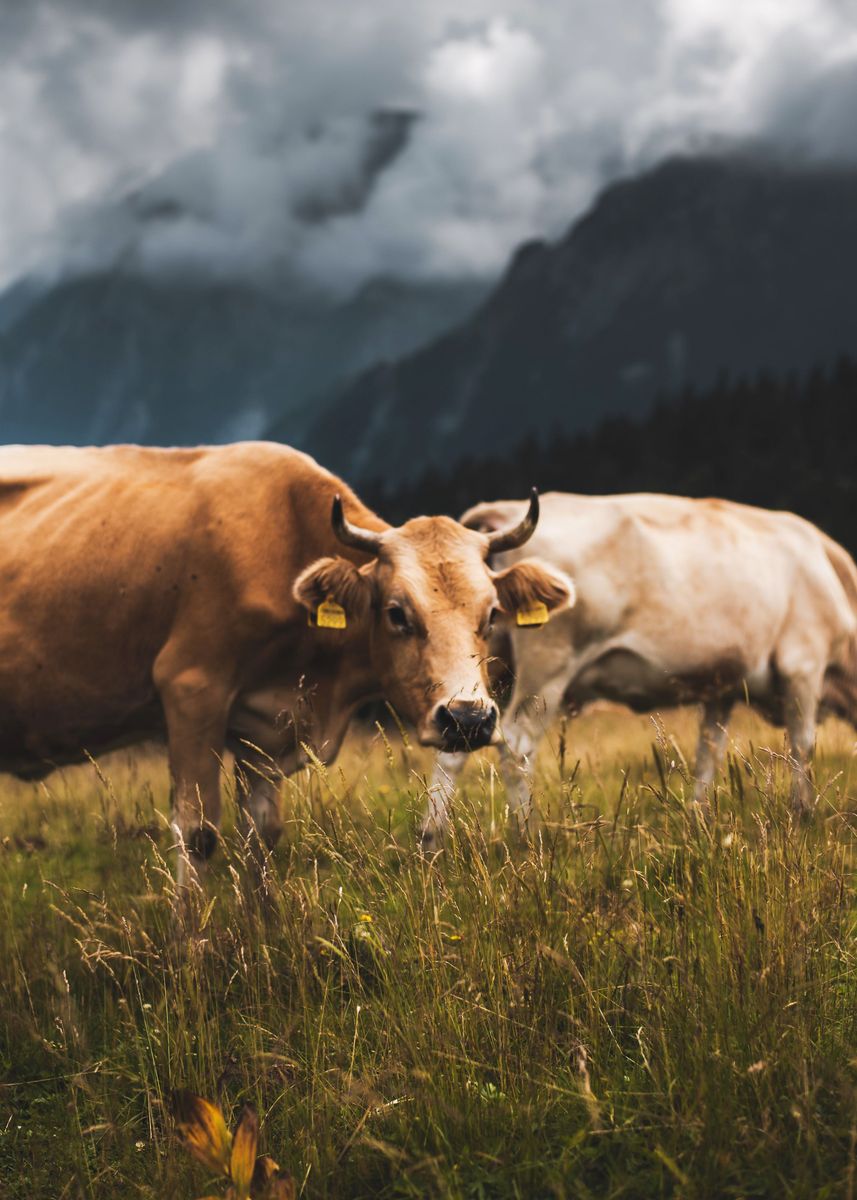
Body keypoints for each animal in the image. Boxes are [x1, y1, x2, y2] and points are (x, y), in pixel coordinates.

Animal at [0, 444, 572, 882]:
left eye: (491, 613)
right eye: (396, 612)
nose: (468, 718)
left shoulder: (266, 728)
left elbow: (263, 836)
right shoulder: (191, 690)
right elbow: (196, 834)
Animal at [422, 491, 857, 848]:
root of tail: (503, 511)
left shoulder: (722, 687)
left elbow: (708, 753)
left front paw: (698, 819)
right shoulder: (803, 665)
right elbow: (802, 744)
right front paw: (803, 815)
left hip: (481, 671)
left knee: (458, 740)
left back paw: (432, 841)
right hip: (547, 669)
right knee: (515, 745)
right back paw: (529, 838)